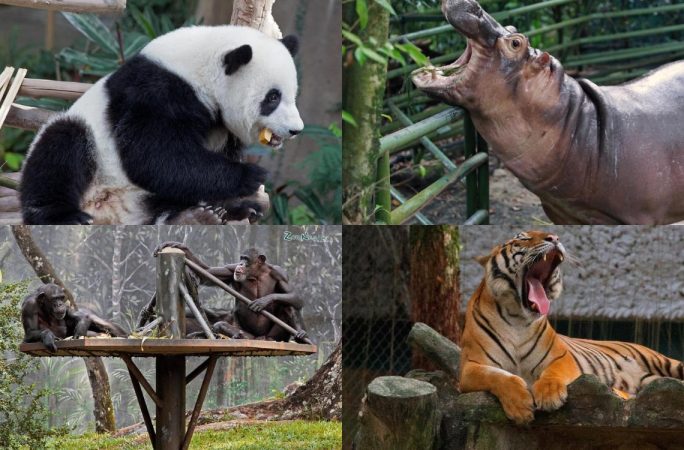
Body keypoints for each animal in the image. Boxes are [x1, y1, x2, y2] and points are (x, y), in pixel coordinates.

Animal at [20, 25, 303, 224]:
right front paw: (250, 175)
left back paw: (220, 211)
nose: (295, 130)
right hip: (90, 151)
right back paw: (65, 215)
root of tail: (114, 214)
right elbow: (153, 157)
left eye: (292, 94)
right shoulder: (156, 93)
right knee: (61, 146)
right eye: (273, 98)